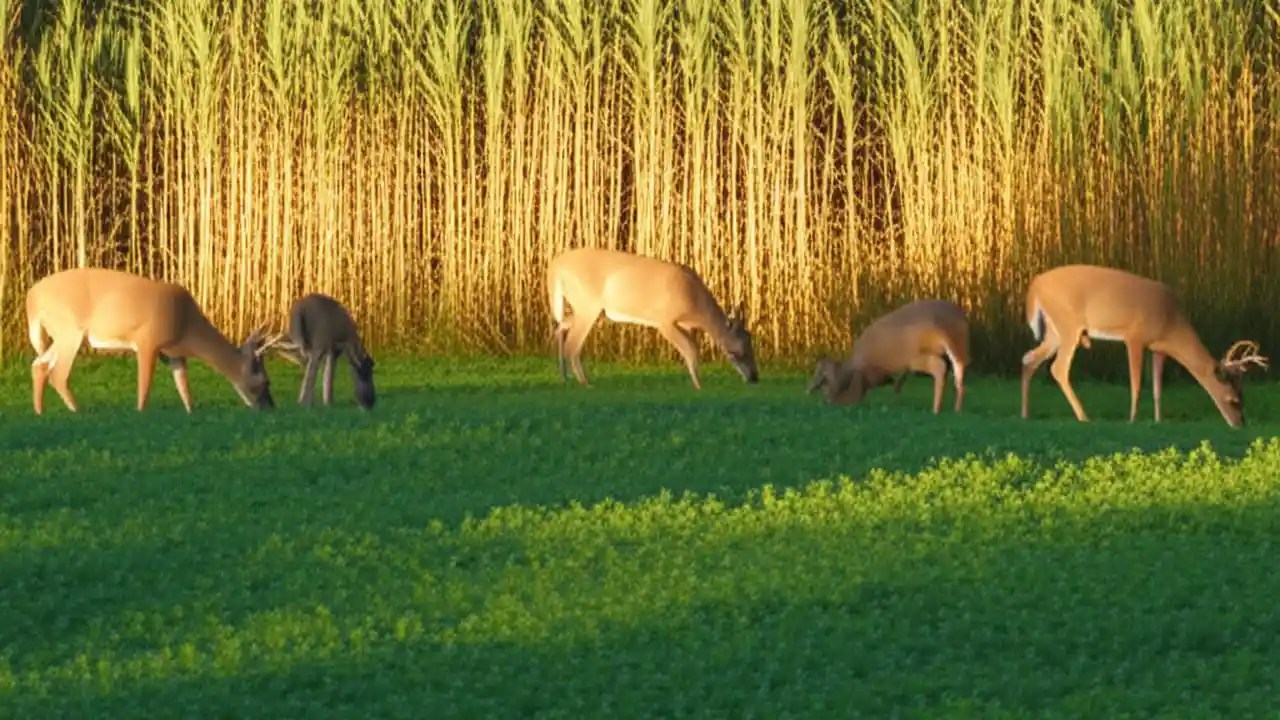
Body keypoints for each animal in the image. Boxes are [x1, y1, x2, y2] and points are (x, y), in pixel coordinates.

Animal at [25, 267, 278, 414]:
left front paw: (191, 413)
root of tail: (31, 297)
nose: (270, 408)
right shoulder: (147, 340)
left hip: (60, 334)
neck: (187, 326)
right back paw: (77, 412)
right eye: (265, 381)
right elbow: (144, 386)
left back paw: (40, 413)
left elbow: (184, 386)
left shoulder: (174, 354)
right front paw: (140, 414)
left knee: (38, 365)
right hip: (69, 329)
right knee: (57, 373)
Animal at [546, 247, 759, 388]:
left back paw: (564, 376)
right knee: (572, 344)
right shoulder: (664, 321)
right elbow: (691, 350)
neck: (695, 305)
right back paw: (585, 382)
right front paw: (699, 386)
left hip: (591, 309)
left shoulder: (684, 325)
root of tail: (555, 266)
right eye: (737, 352)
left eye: (752, 347)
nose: (754, 378)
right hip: (587, 304)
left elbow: (692, 348)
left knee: (560, 326)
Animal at [807, 299, 969, 414]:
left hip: (917, 356)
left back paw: (936, 409)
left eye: (823, 379)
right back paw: (957, 409)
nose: (827, 402)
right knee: (958, 371)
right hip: (959, 348)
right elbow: (897, 384)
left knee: (940, 368)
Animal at [1020, 264, 1268, 427]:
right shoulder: (1134, 337)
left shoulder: (1157, 347)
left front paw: (1159, 421)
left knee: (1028, 358)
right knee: (1058, 368)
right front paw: (1132, 420)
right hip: (1068, 325)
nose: (1240, 425)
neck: (1171, 322)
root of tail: (1034, 286)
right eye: (1233, 400)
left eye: (1244, 397)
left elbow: (1158, 388)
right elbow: (1137, 384)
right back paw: (1084, 417)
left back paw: (1025, 414)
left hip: (1054, 332)